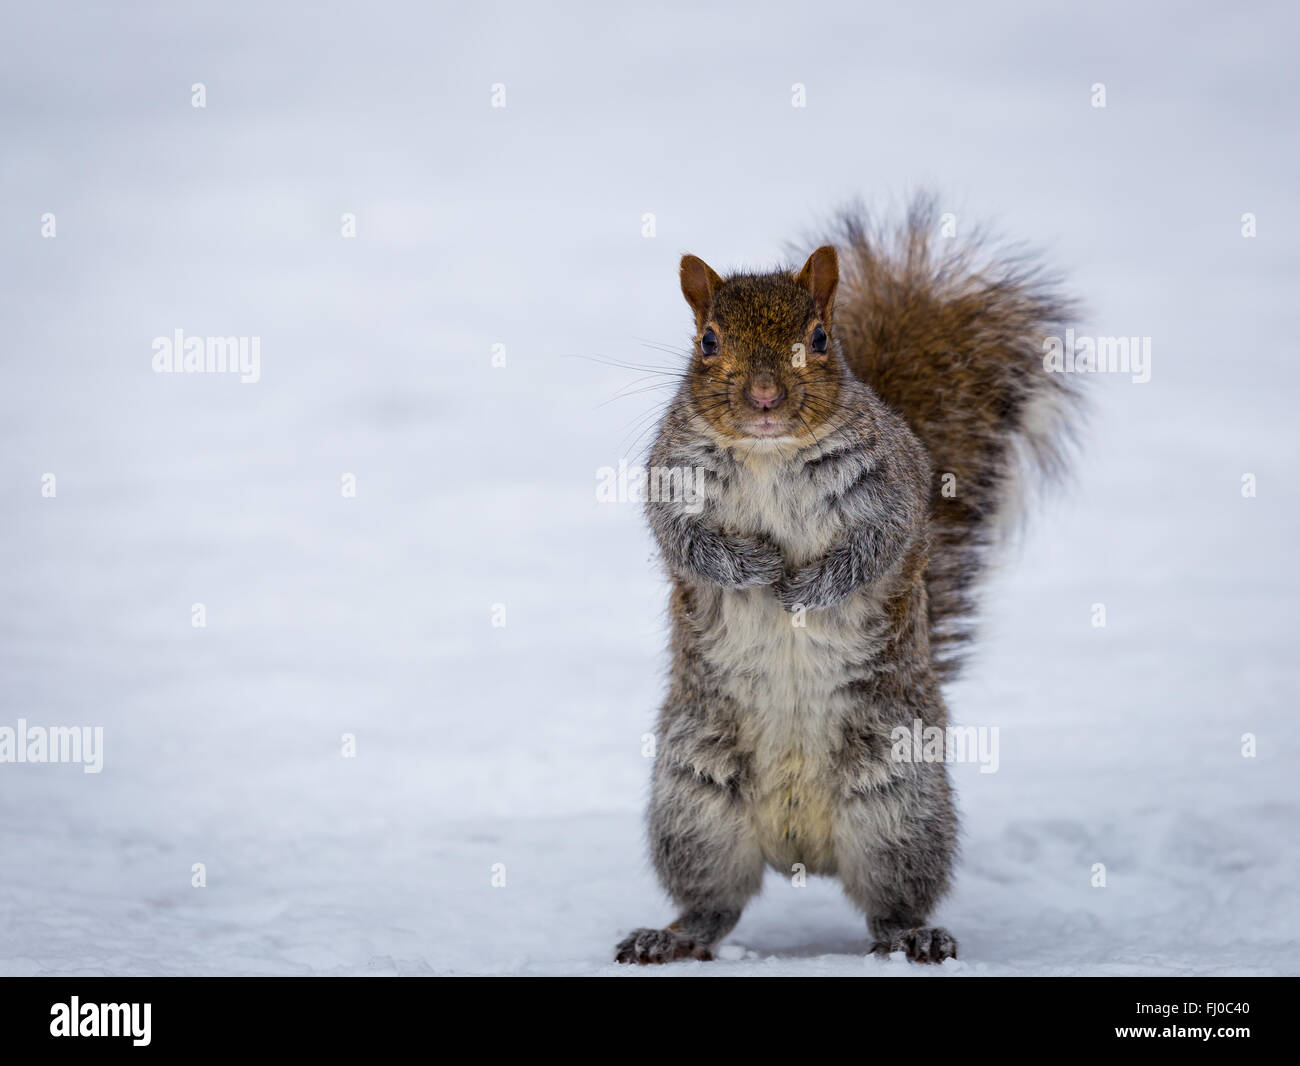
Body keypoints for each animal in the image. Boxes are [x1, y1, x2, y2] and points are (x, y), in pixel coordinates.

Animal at [614, 196, 1081, 965]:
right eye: (707, 341)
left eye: (820, 337)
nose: (764, 396)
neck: (769, 452)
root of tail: (800, 851)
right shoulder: (671, 481)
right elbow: (685, 542)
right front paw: (752, 567)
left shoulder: (894, 486)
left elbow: (876, 547)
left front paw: (808, 587)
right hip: (694, 803)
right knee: (713, 903)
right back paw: (671, 937)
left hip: (901, 803)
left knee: (890, 899)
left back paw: (913, 935)